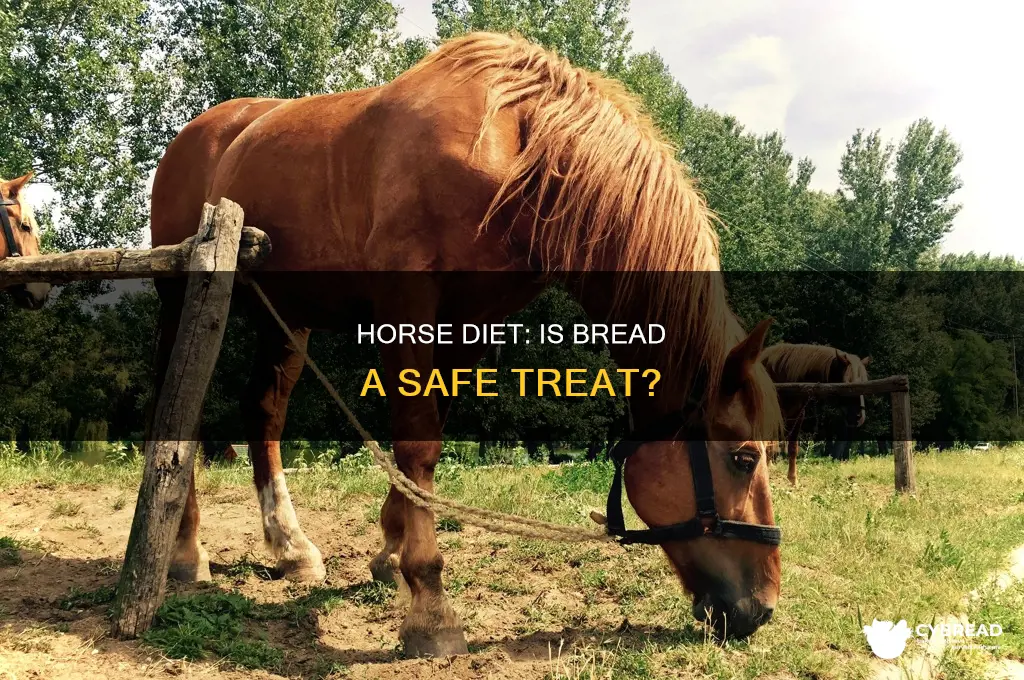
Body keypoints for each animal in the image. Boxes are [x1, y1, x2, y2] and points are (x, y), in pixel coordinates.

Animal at [149, 32, 784, 654]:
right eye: (743, 457)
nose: (761, 609)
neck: (515, 151)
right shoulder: (406, 303)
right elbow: (417, 442)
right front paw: (430, 607)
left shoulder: (470, 322)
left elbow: (427, 433)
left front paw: (391, 552)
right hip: (184, 296)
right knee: (177, 408)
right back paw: (184, 552)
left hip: (286, 318)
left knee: (265, 414)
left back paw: (291, 549)